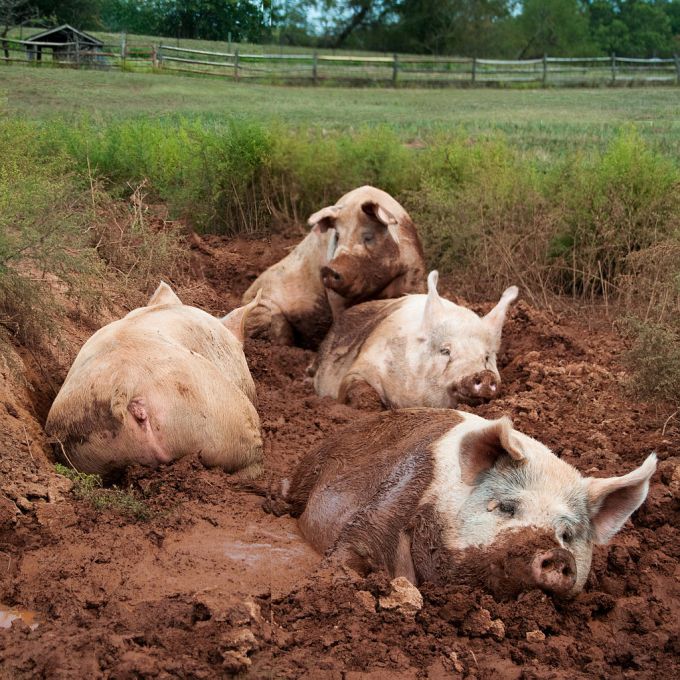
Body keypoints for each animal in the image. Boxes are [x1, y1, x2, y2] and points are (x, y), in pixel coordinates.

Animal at [242, 185, 426, 348]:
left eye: (368, 236)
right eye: (337, 236)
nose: (329, 269)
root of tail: (243, 298)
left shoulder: (414, 273)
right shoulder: (334, 295)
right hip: (263, 310)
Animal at [284, 409, 656, 599]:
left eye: (567, 535)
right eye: (506, 507)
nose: (559, 556)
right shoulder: (392, 499)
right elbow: (355, 545)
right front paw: (322, 586)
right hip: (308, 472)